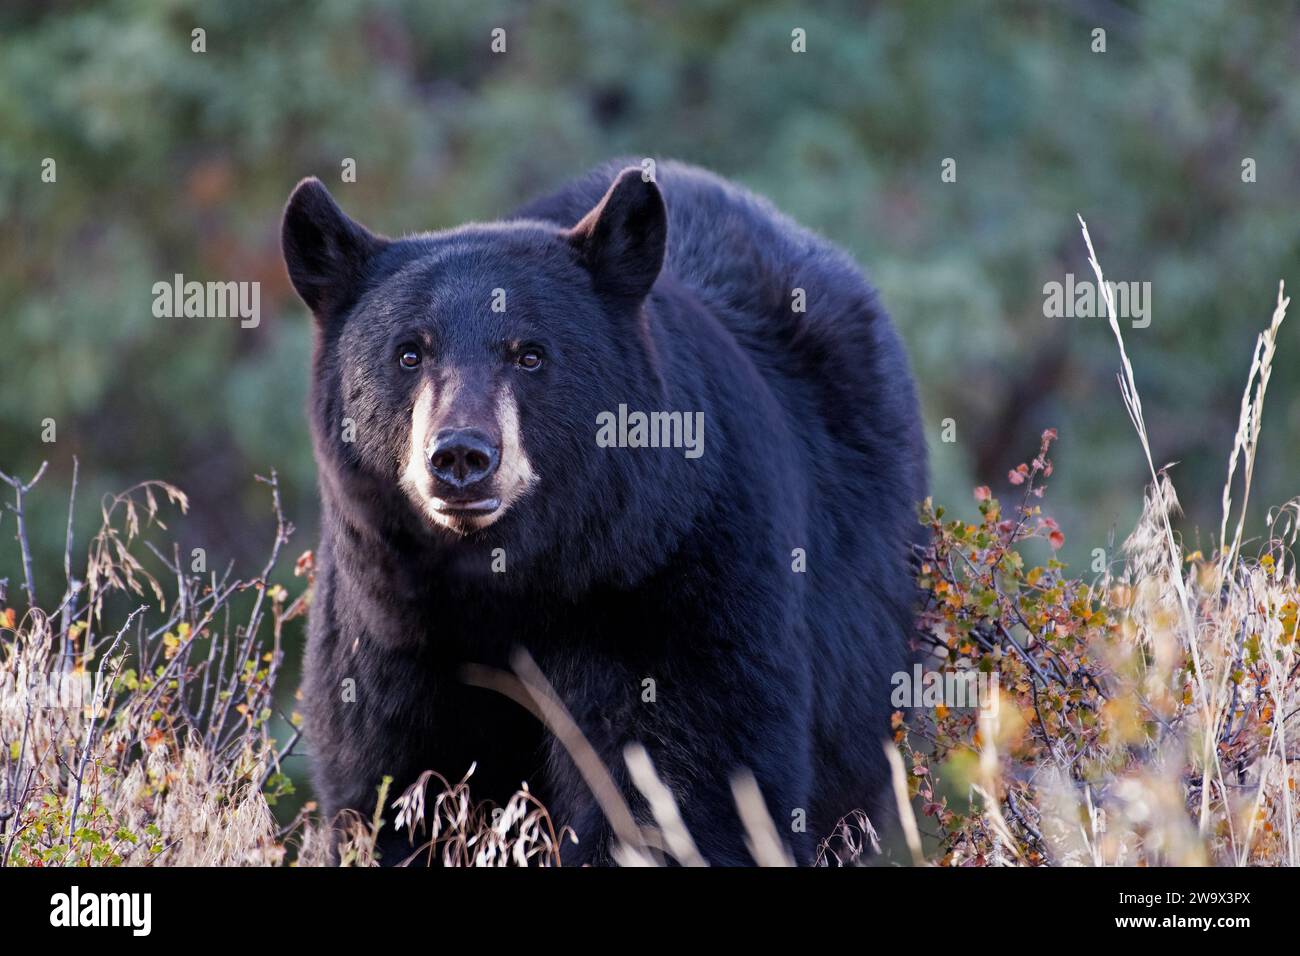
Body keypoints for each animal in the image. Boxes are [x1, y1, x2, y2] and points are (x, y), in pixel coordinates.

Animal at [280, 158, 927, 866]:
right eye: (408, 352)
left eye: (529, 353)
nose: (460, 457)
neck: (514, 581)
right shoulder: (389, 623)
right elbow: (389, 783)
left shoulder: (674, 581)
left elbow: (686, 783)